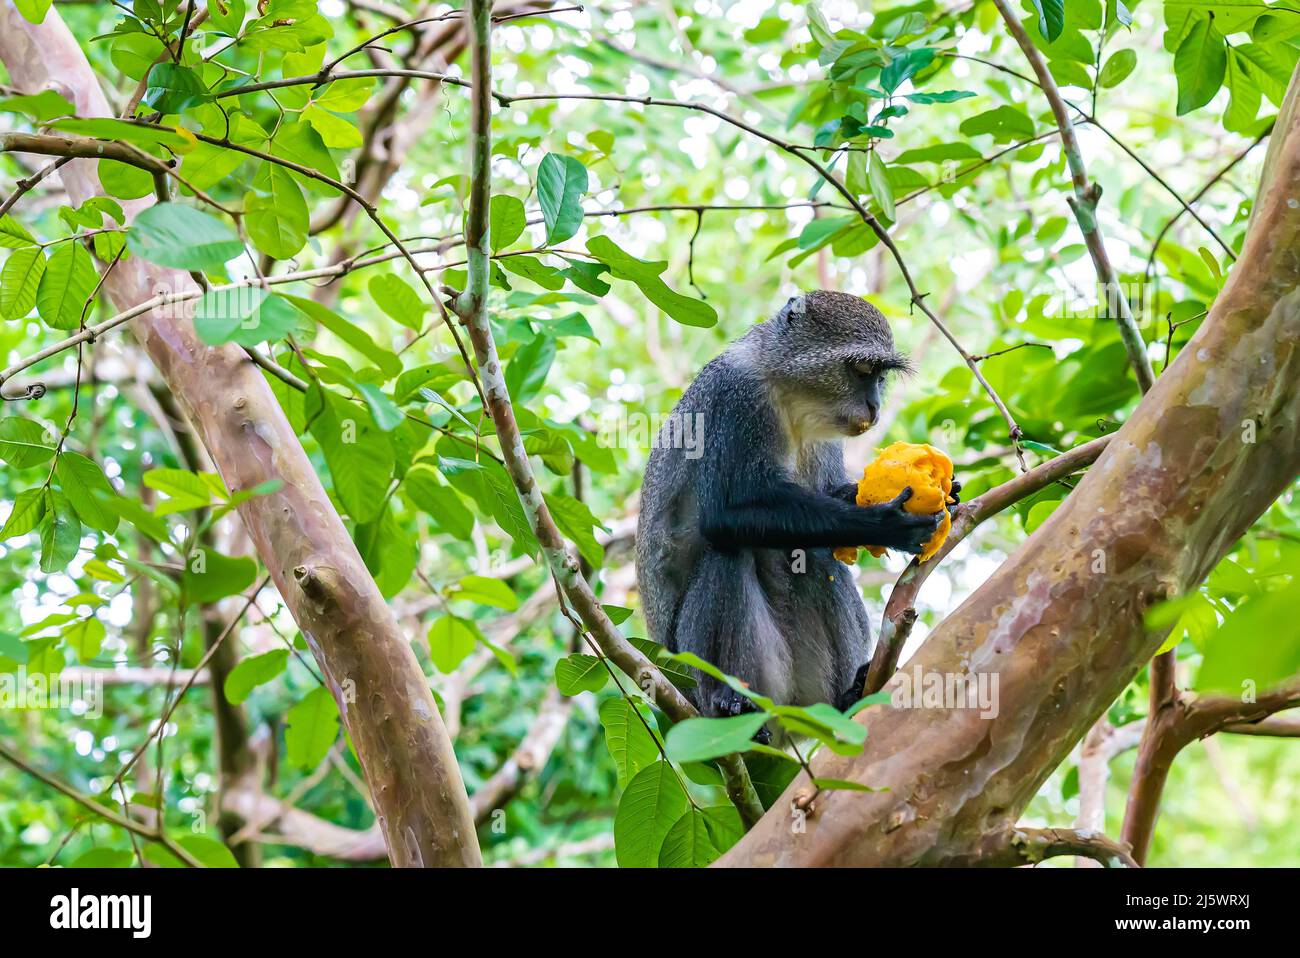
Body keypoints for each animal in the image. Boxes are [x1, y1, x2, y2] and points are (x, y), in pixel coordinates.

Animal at [635, 290, 958, 724]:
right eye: (861, 369)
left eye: (880, 376)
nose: (874, 406)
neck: (789, 392)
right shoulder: (734, 398)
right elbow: (723, 516)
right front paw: (886, 524)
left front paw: (951, 491)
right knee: (726, 553)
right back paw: (729, 704)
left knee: (817, 558)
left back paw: (847, 697)